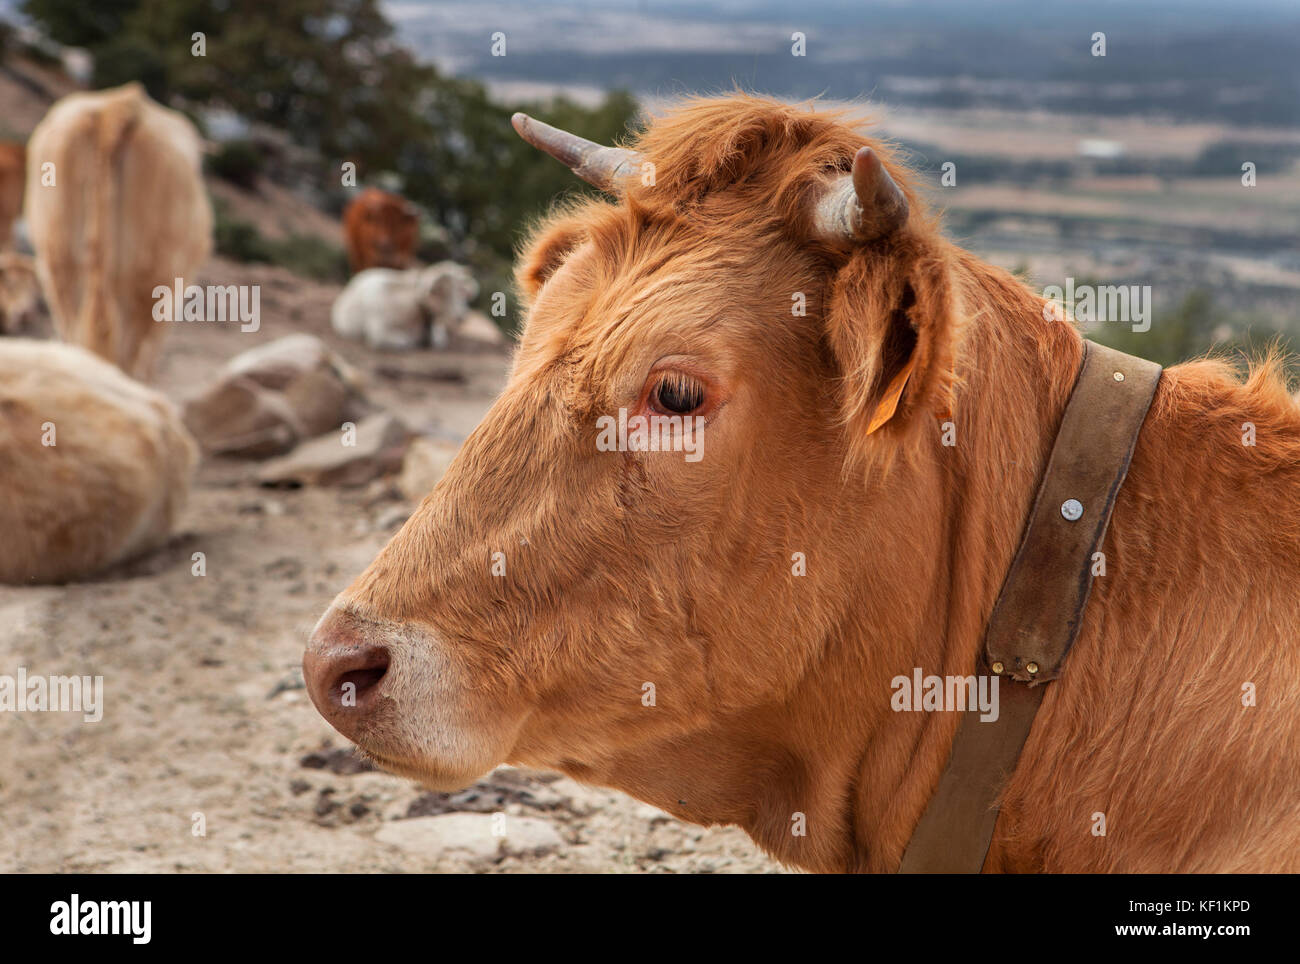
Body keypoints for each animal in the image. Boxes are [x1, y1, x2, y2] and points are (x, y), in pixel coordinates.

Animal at [330, 262, 478, 351]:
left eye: (463, 292)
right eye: (444, 291)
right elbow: (406, 342)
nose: (461, 316)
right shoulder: (379, 331)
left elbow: (439, 340)